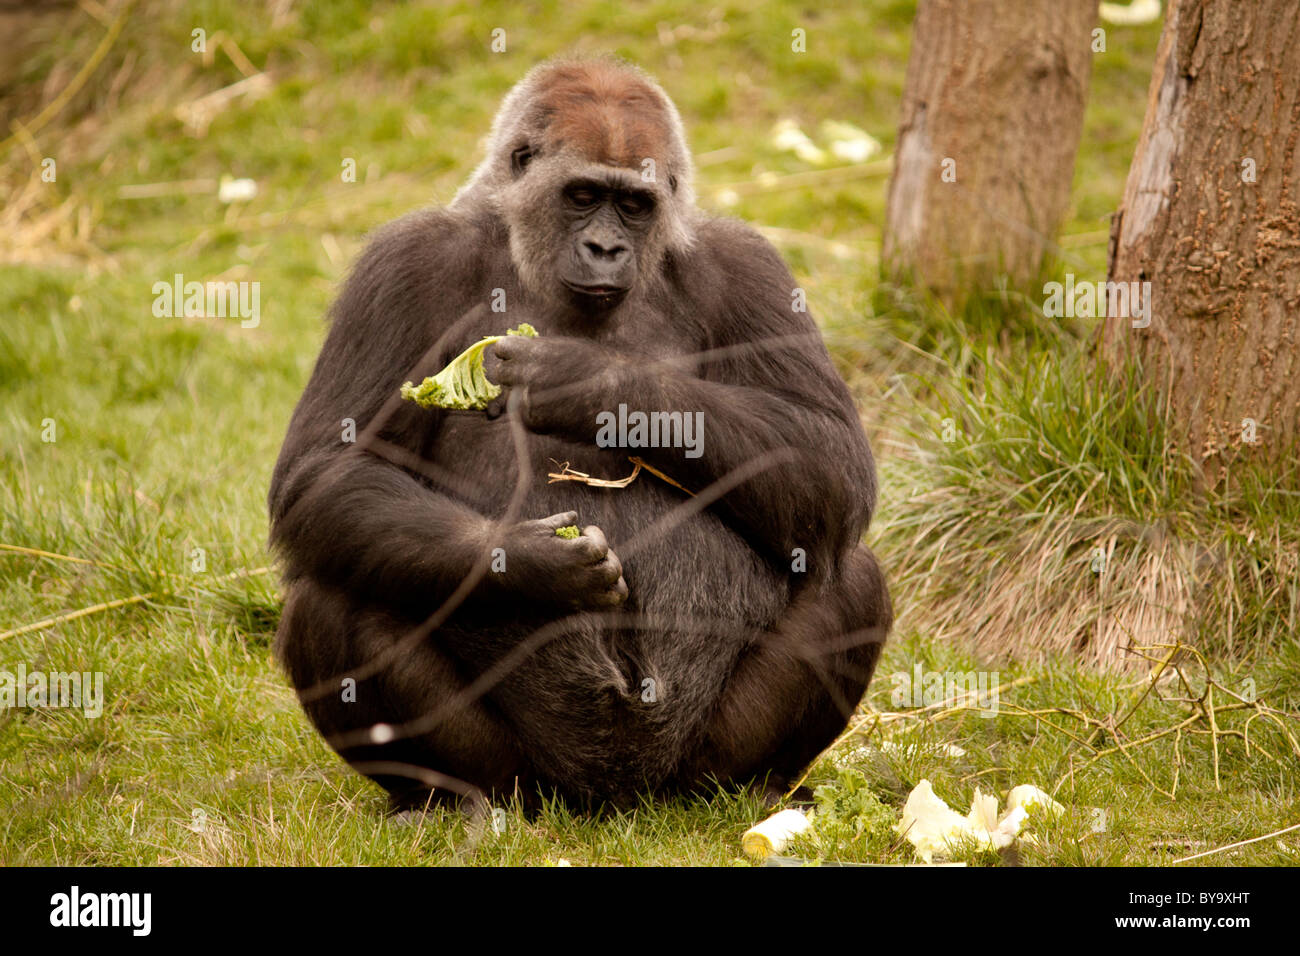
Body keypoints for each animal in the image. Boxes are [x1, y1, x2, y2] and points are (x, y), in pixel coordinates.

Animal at [268, 56, 892, 811]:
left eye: (635, 206)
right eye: (583, 194)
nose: (605, 246)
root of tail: (614, 798)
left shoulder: (749, 264)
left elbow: (828, 457)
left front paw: (589, 381)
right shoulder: (402, 264)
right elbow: (330, 471)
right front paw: (534, 559)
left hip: (690, 765)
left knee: (849, 577)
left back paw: (756, 788)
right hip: (530, 781)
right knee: (333, 593)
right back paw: (444, 799)